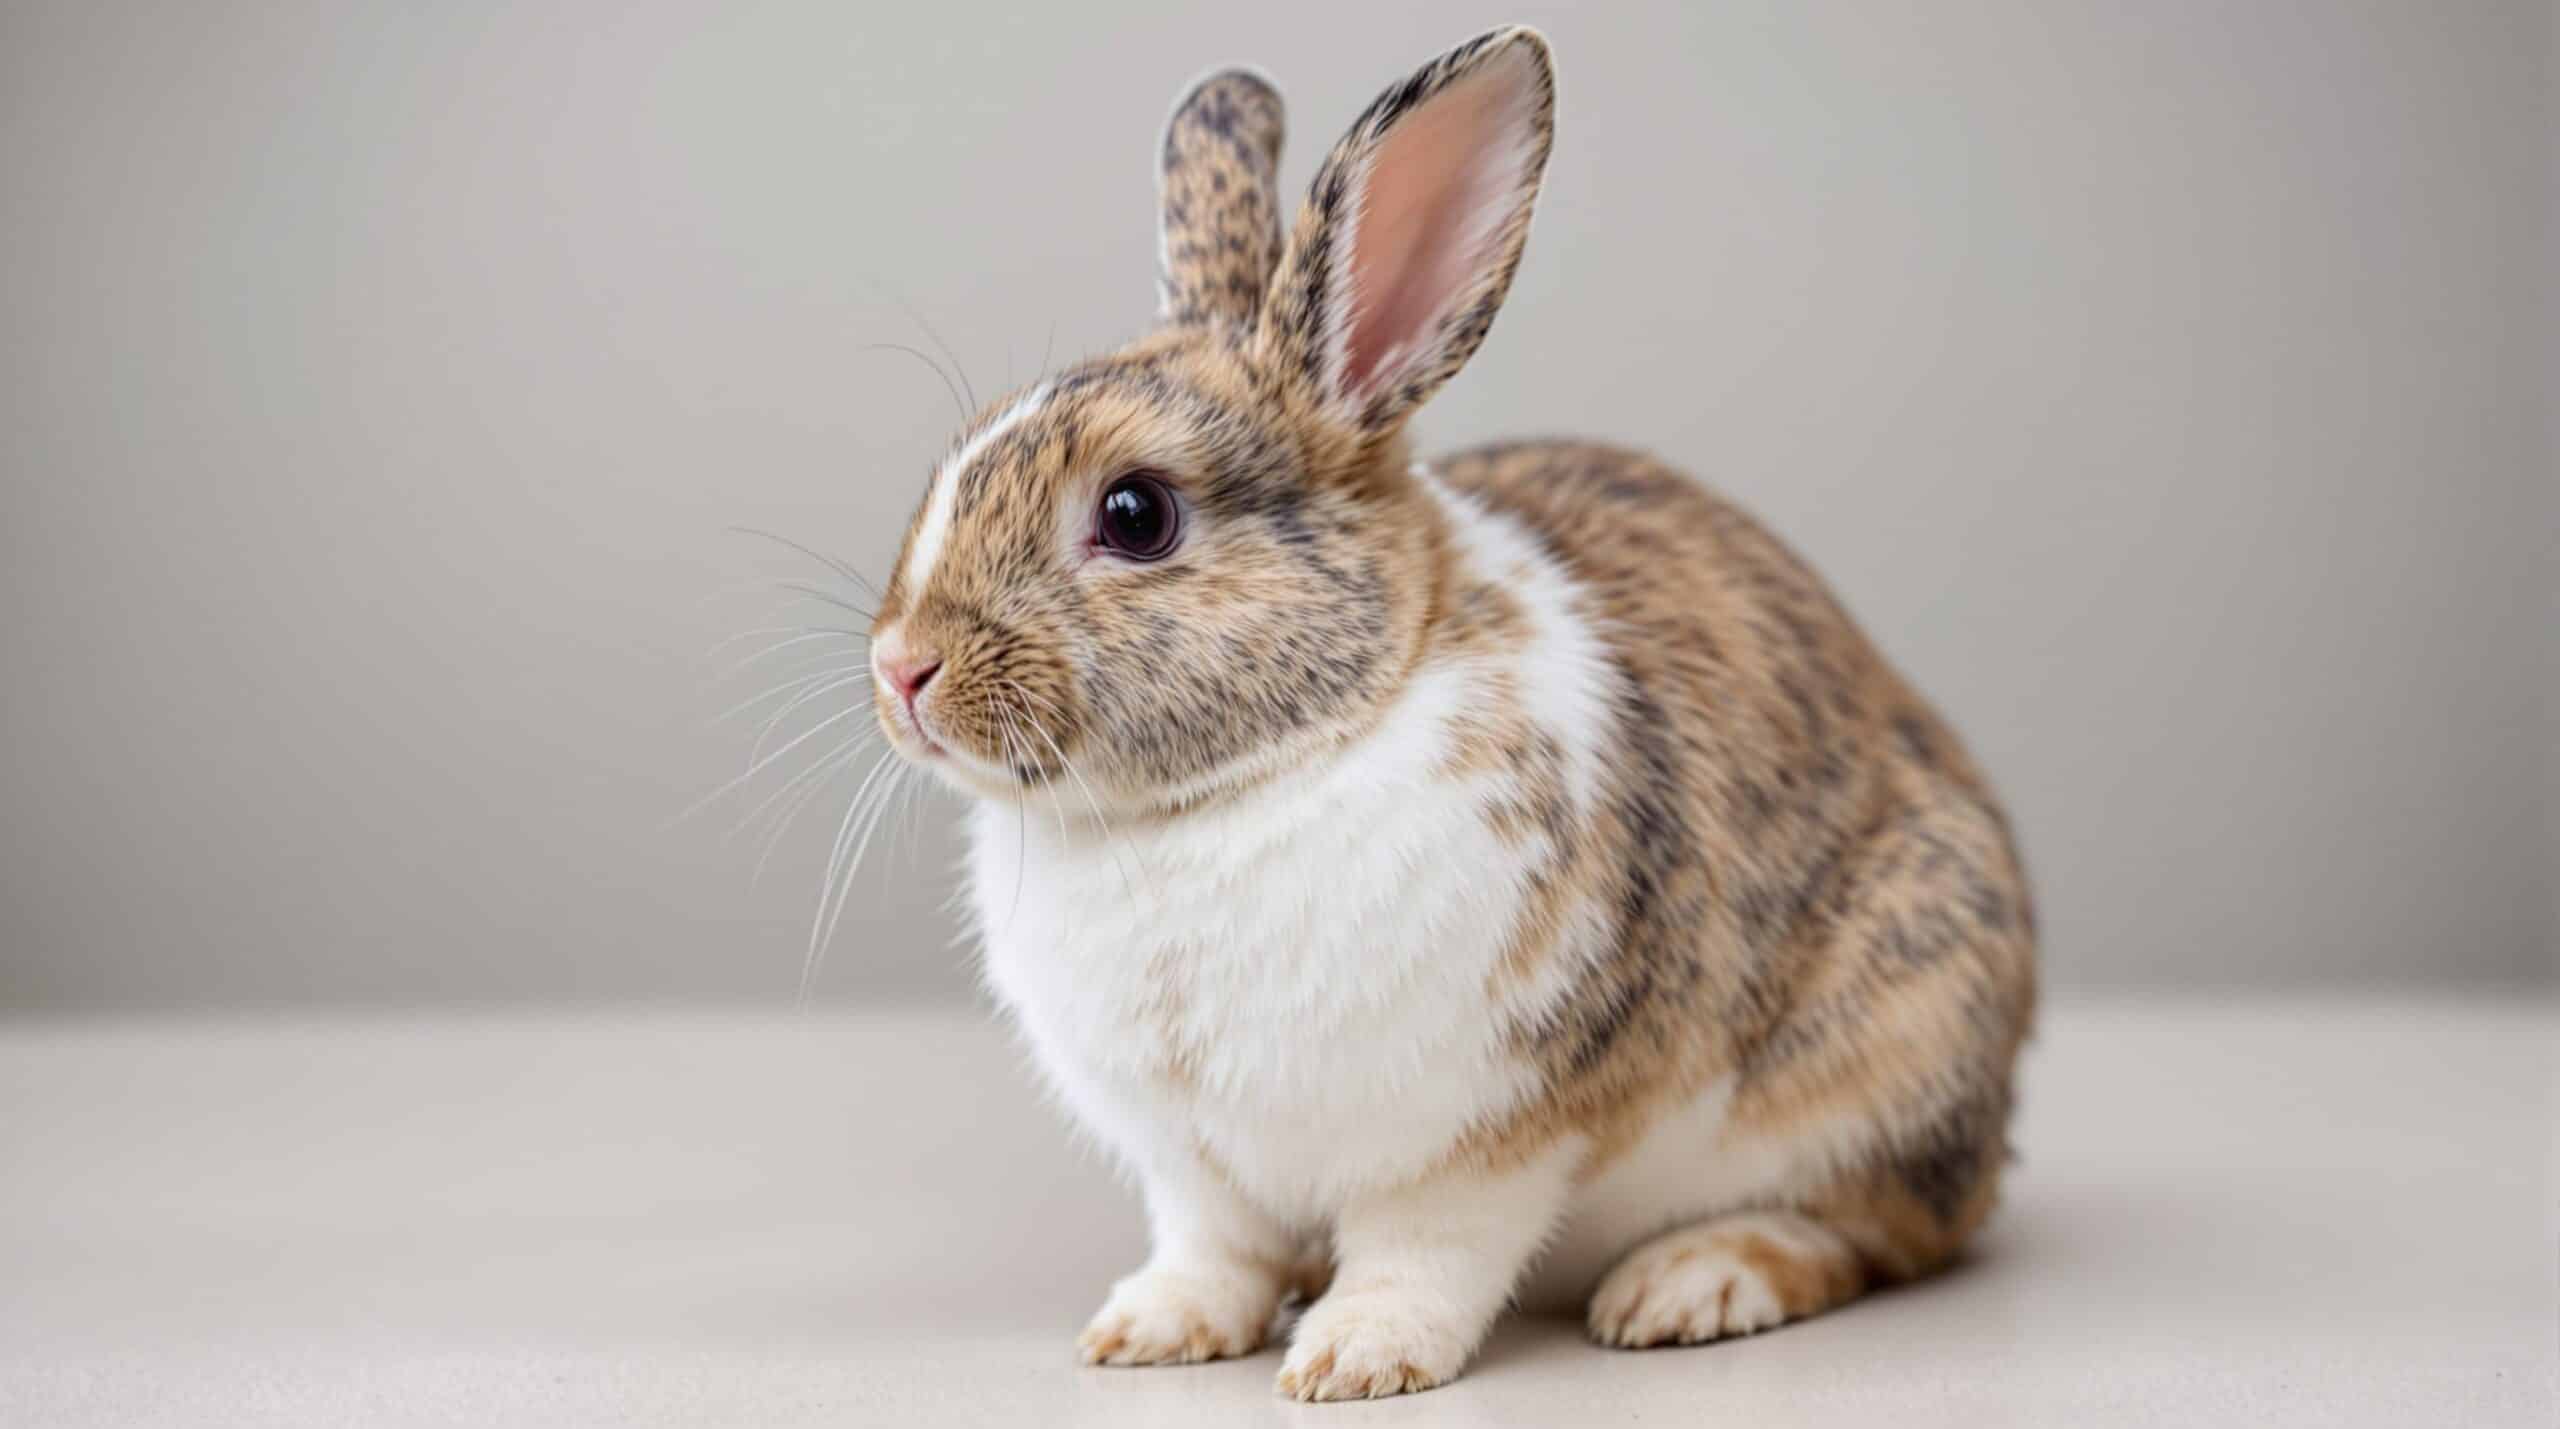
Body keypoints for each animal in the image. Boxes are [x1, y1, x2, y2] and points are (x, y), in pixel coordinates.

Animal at [856, 25, 2035, 1402]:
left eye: (1137, 514)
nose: (902, 668)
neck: (1221, 796)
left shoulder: (1480, 1139)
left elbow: (1423, 1254)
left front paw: (1353, 1360)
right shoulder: (1194, 1166)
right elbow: (1211, 1249)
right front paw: (1146, 1331)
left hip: (1896, 1050)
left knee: (1883, 1229)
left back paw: (1690, 1284)